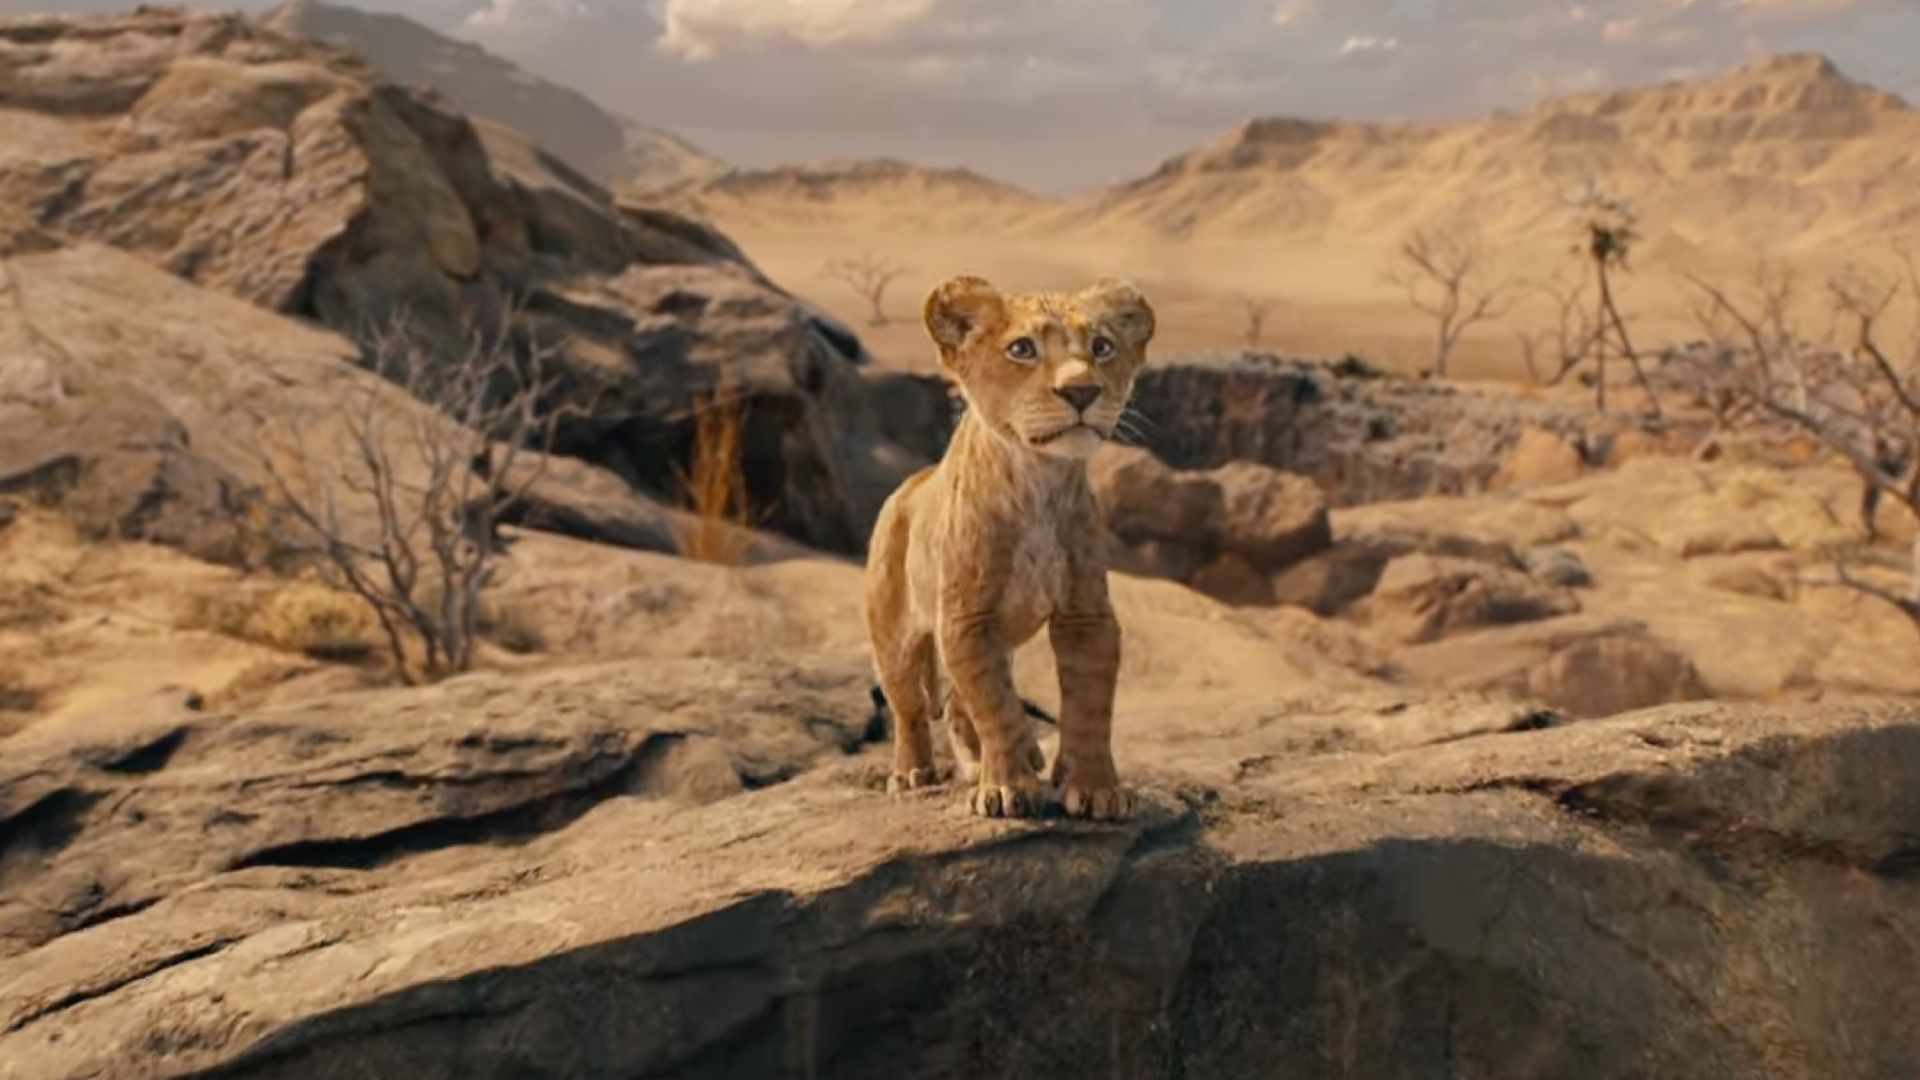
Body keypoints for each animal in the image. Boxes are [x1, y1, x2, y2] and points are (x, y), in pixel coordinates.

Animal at [863, 275, 1156, 821]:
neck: (1038, 479)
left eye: (1101, 347)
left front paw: (1096, 789)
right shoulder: (968, 619)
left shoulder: (1086, 615)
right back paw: (913, 772)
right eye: (1022, 349)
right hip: (894, 636)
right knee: (909, 706)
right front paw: (1008, 787)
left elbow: (1089, 705)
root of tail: (908, 484)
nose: (1082, 391)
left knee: (959, 703)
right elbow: (995, 704)